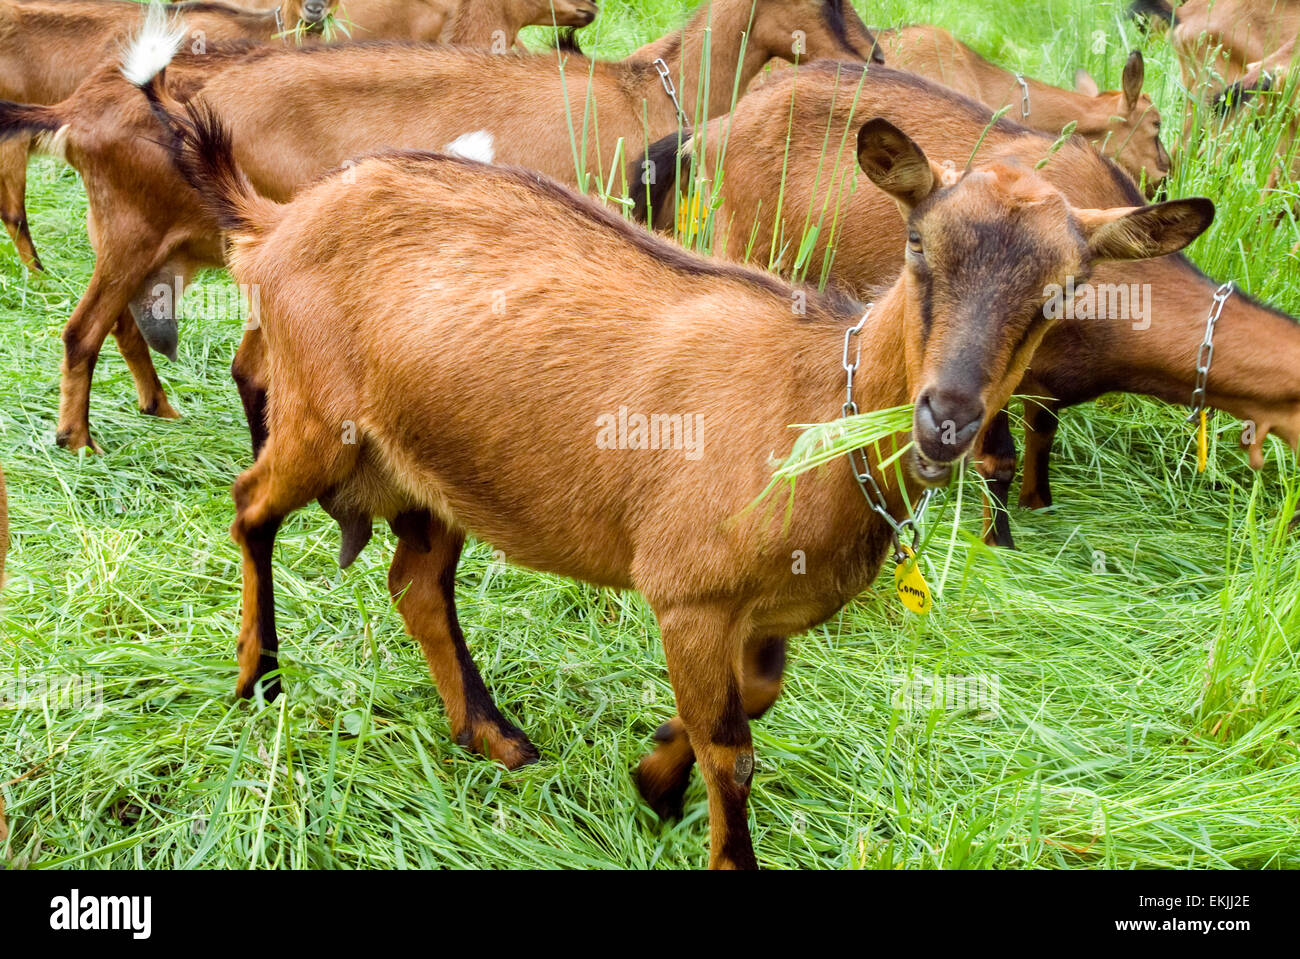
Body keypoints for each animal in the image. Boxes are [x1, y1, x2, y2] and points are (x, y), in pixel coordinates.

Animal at [159, 89, 1210, 866]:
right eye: (920, 246)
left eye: (1064, 289)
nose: (945, 416)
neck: (815, 406)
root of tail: (279, 220)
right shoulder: (691, 594)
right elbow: (733, 751)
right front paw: (704, 827)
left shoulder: (767, 614)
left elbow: (751, 705)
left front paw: (652, 777)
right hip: (316, 418)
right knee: (249, 507)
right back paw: (258, 676)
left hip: (434, 468)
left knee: (416, 581)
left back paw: (495, 737)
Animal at [636, 63, 1300, 547]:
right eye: (918, 243)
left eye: (1069, 287)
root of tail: (715, 125)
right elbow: (998, 460)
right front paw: (998, 543)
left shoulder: (1040, 378)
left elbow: (1042, 434)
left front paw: (1041, 504)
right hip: (738, 234)